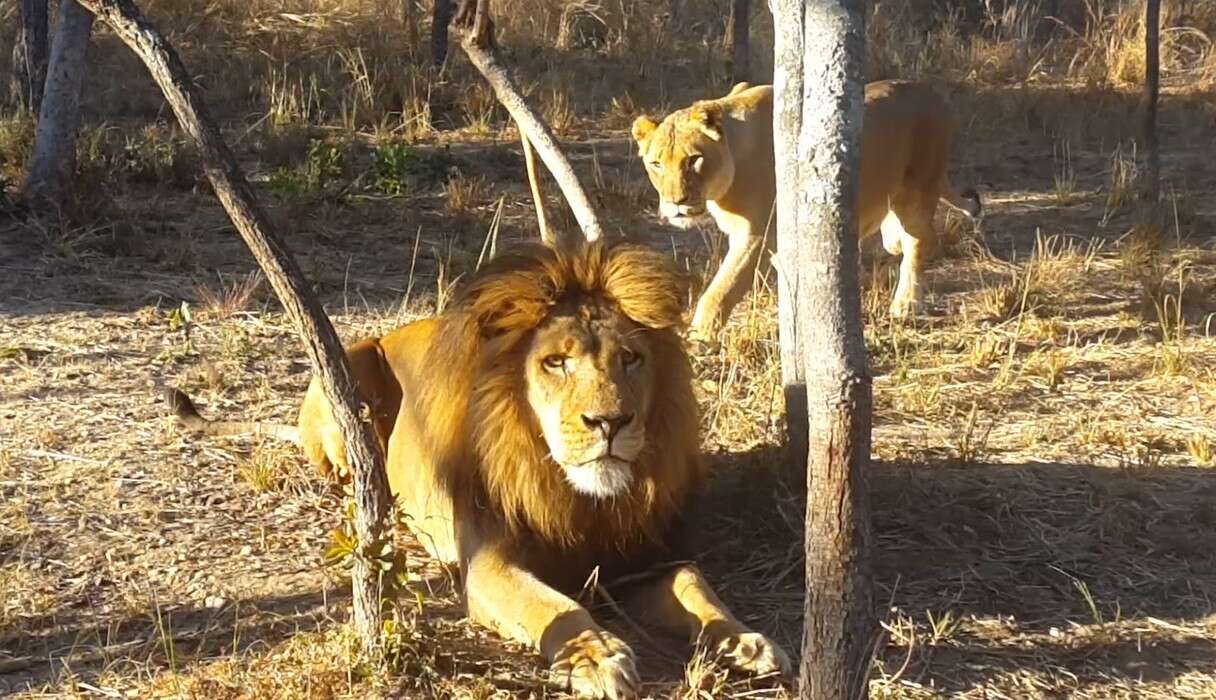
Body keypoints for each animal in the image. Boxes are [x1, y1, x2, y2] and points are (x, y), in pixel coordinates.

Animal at [168, 241, 790, 699]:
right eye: (555, 363)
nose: (610, 422)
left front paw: (745, 641)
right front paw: (597, 657)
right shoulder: (488, 564)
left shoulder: (643, 560)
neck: (579, 498)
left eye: (631, 359)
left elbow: (695, 586)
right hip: (350, 370)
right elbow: (559, 608)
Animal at [631, 79, 982, 338]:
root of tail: (934, 93)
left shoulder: (756, 235)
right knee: (898, 240)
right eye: (656, 164)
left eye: (694, 159)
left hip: (917, 189)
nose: (675, 203)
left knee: (921, 241)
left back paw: (906, 303)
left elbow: (720, 292)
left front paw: (699, 339)